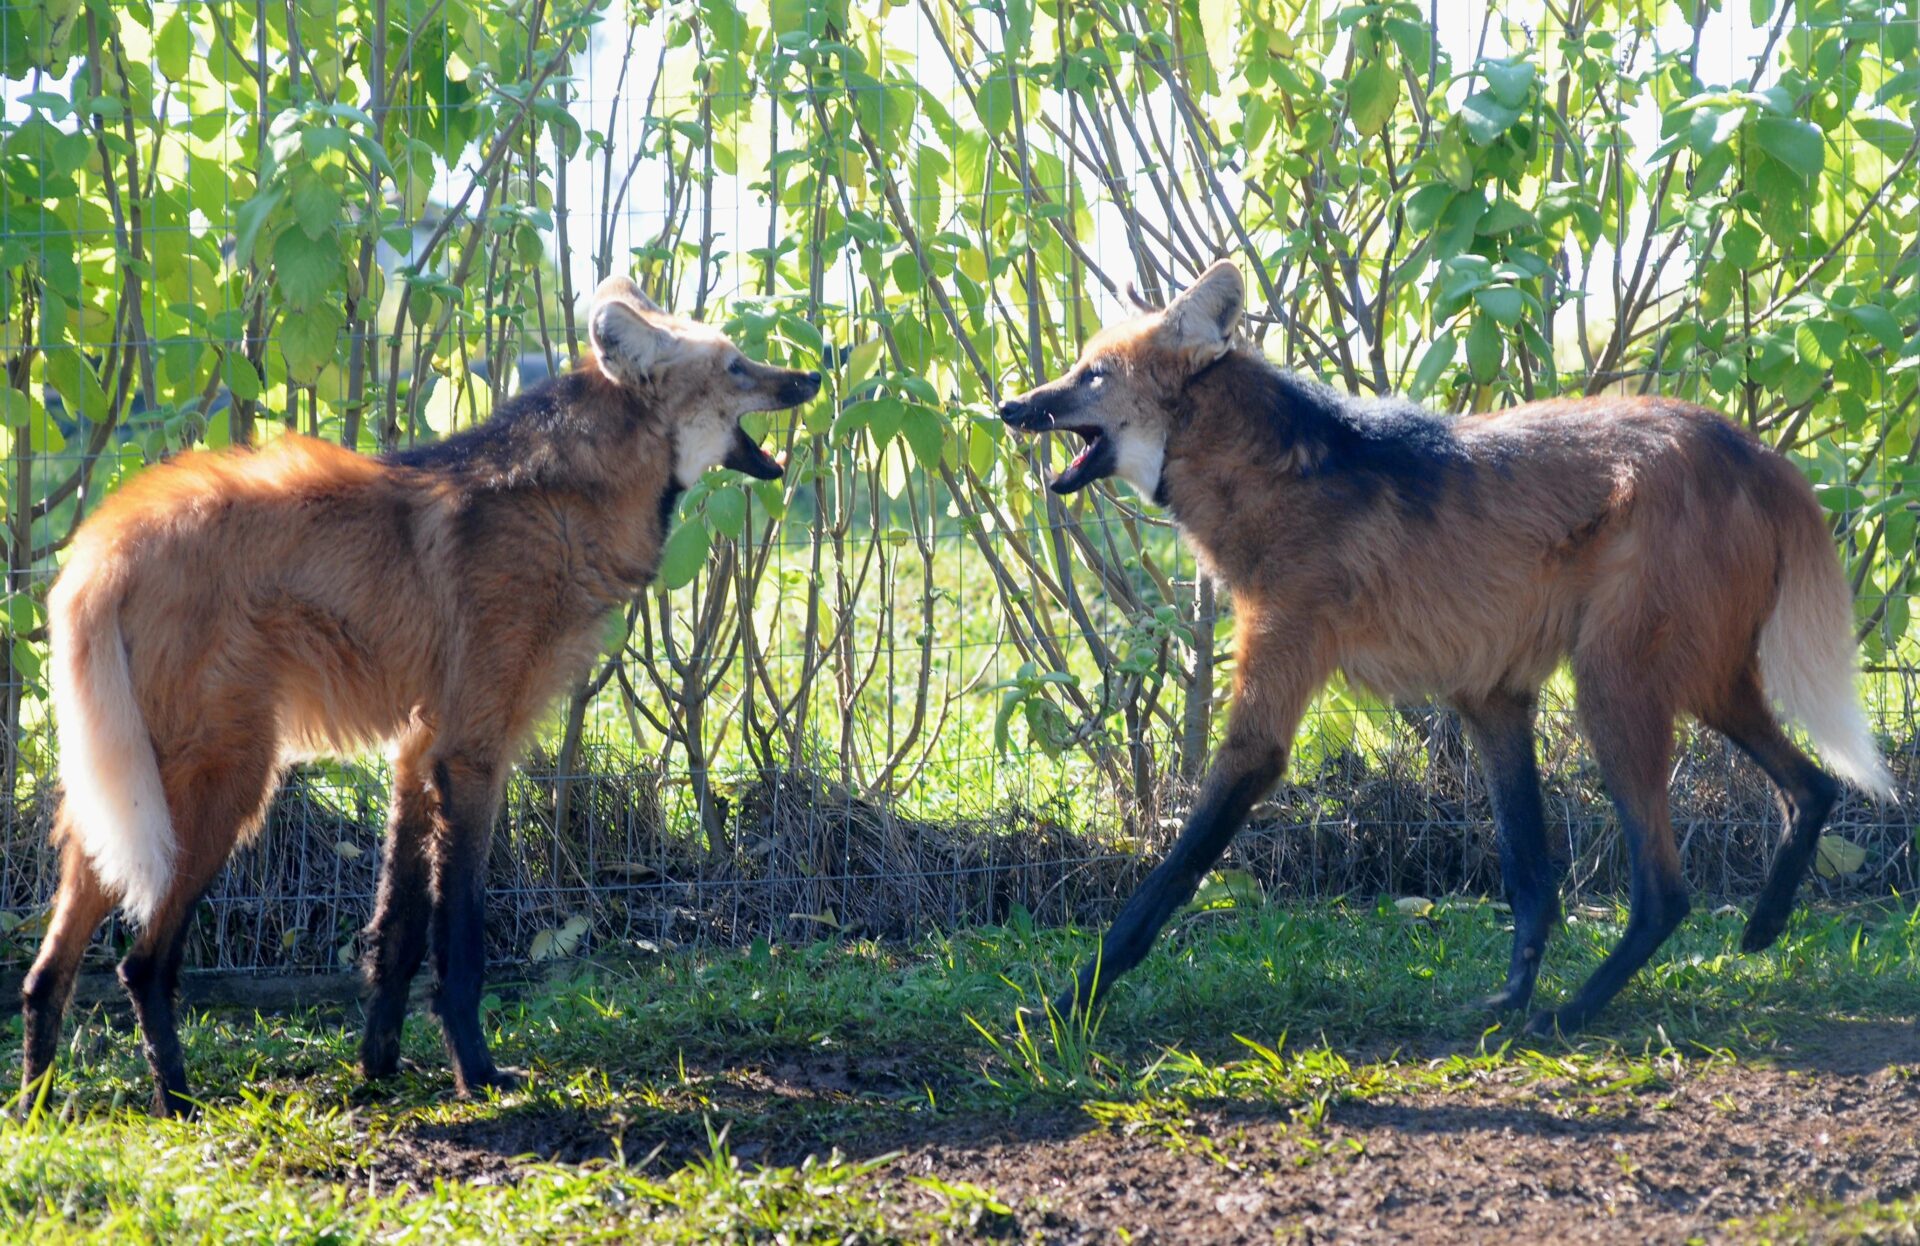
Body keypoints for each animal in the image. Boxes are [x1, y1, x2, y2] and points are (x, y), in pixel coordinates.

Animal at [20, 275, 820, 1114]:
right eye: (737, 366)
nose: (812, 374)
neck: (567, 501)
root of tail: (104, 543)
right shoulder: (474, 749)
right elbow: (458, 934)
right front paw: (479, 1075)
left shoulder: (418, 747)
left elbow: (397, 931)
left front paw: (378, 1064)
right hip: (223, 776)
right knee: (141, 960)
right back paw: (178, 1101)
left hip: (129, 781)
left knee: (47, 970)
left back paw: (37, 1105)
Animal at [998, 259, 1893, 1035]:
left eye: (1089, 375)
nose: (1009, 406)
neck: (1276, 477)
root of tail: (1754, 449)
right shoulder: (1490, 697)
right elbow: (1531, 878)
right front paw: (1505, 998)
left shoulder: (1277, 695)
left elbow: (1167, 879)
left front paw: (1064, 1008)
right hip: (1700, 675)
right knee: (1812, 784)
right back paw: (1761, 927)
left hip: (1616, 683)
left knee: (1668, 890)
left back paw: (1572, 1013)